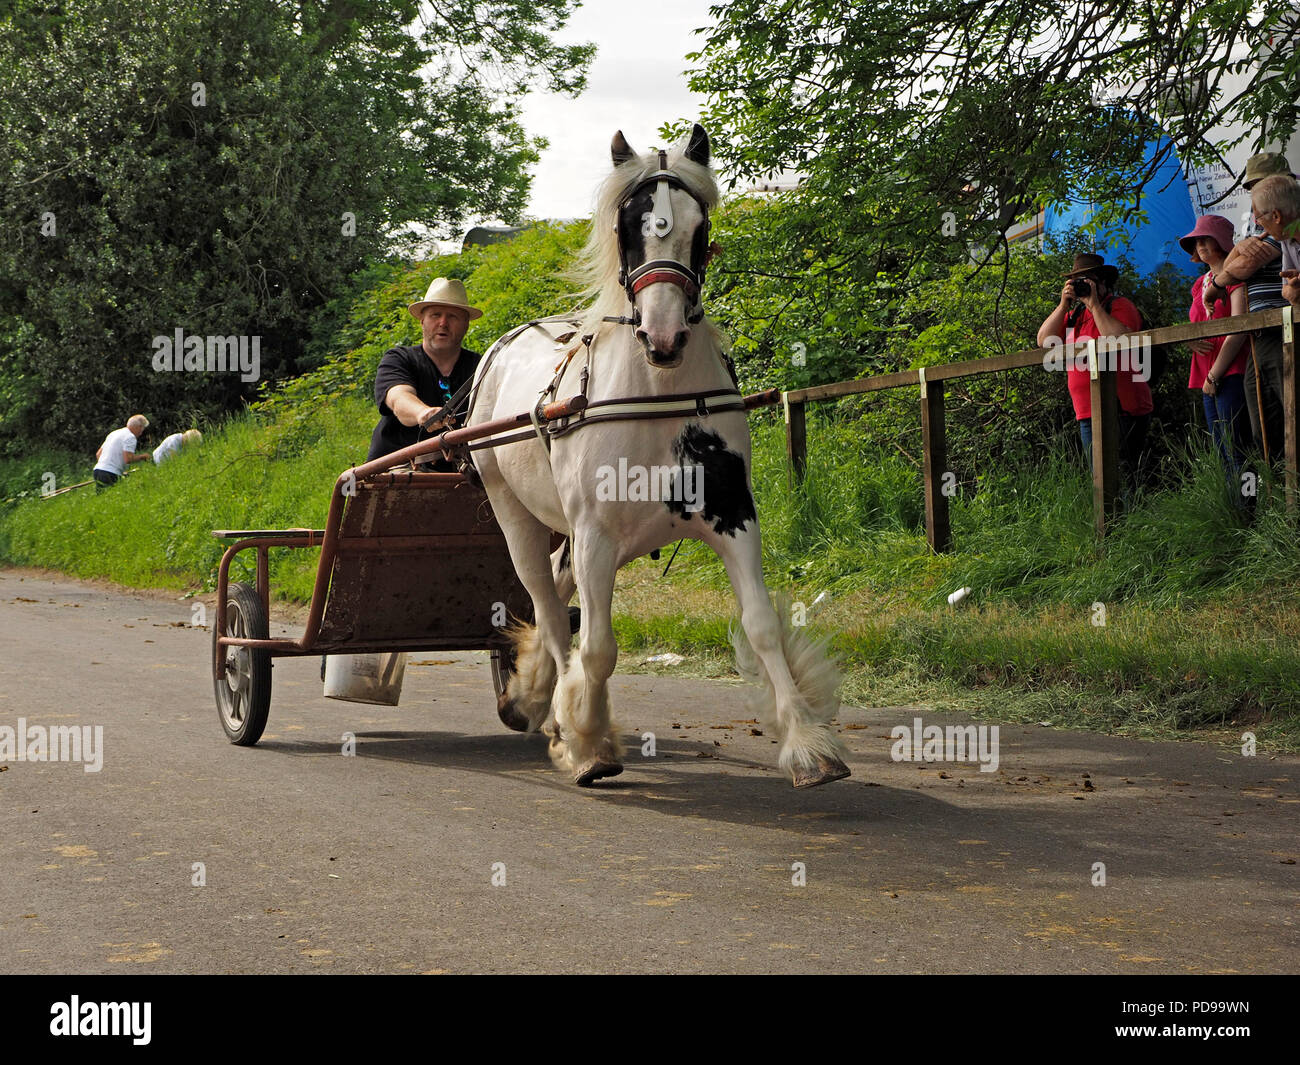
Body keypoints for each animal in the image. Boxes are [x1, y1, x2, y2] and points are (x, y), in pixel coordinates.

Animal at [465, 123, 850, 789]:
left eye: (700, 227)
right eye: (629, 224)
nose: (664, 336)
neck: (654, 397)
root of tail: (502, 347)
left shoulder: (733, 513)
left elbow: (761, 625)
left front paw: (806, 741)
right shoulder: (594, 536)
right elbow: (596, 648)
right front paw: (589, 744)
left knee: (558, 601)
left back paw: (537, 695)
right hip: (516, 518)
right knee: (549, 607)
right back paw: (557, 714)